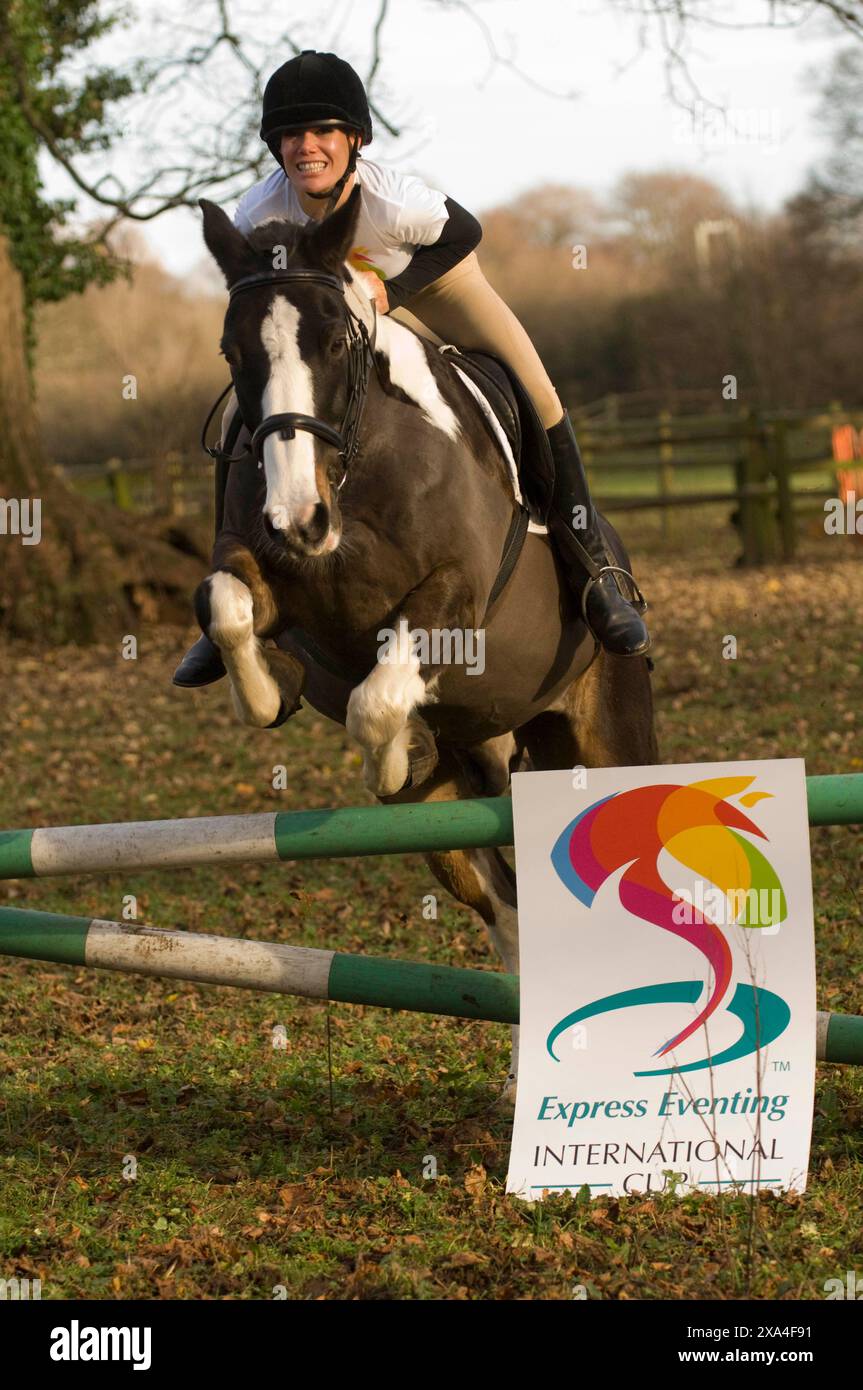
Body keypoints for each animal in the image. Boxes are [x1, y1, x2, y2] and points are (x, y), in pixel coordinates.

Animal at [194, 188, 658, 1098]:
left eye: (337, 342)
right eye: (234, 351)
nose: (297, 520)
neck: (352, 469)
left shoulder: (457, 598)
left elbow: (377, 698)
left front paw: (388, 754)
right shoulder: (256, 562)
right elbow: (231, 607)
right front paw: (275, 691)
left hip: (608, 734)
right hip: (459, 821)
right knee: (507, 910)